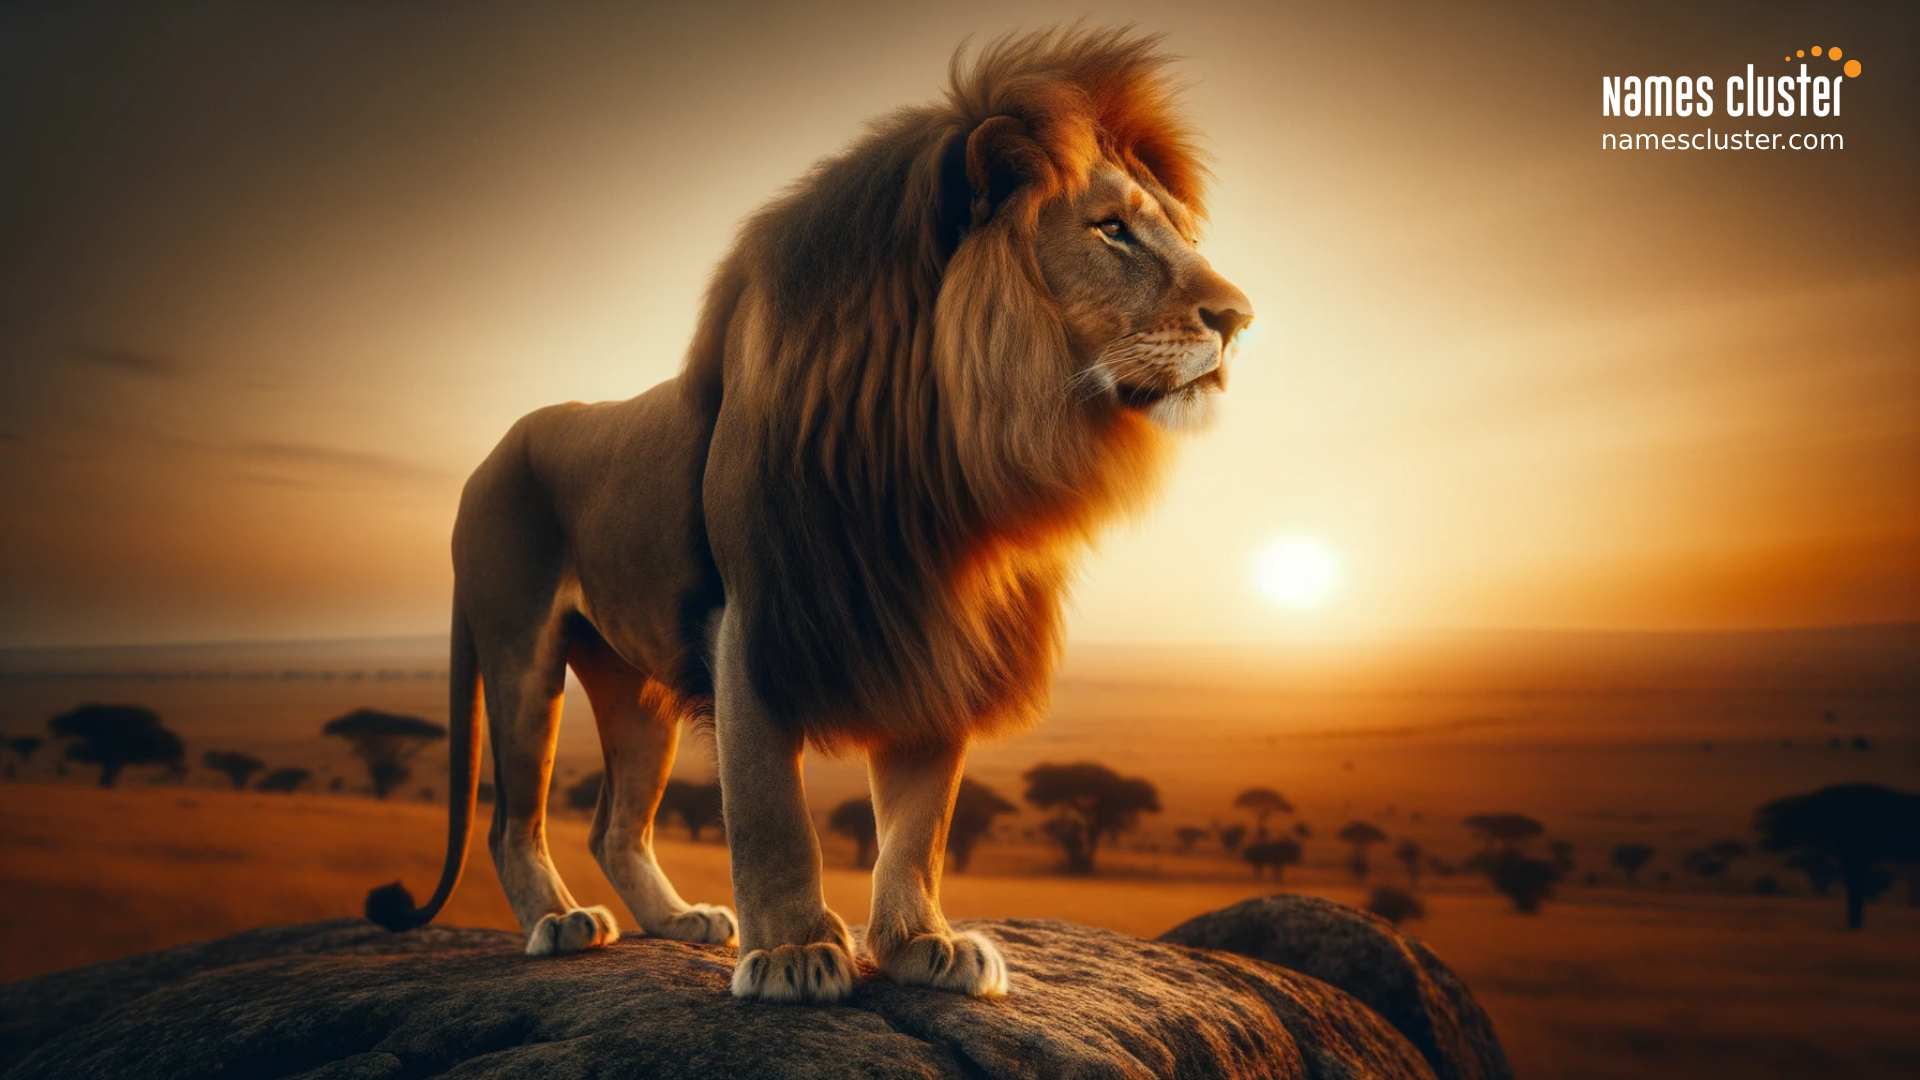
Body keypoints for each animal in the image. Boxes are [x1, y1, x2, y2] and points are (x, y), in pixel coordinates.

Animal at [364, 27, 1252, 1003]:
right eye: (1111, 229)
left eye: (1182, 233)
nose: (1238, 317)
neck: (937, 444)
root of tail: (487, 458)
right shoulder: (756, 622)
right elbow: (770, 812)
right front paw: (792, 954)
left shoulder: (935, 635)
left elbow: (921, 824)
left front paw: (921, 942)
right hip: (521, 654)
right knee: (511, 820)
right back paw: (558, 924)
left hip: (636, 689)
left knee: (613, 824)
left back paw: (679, 920)